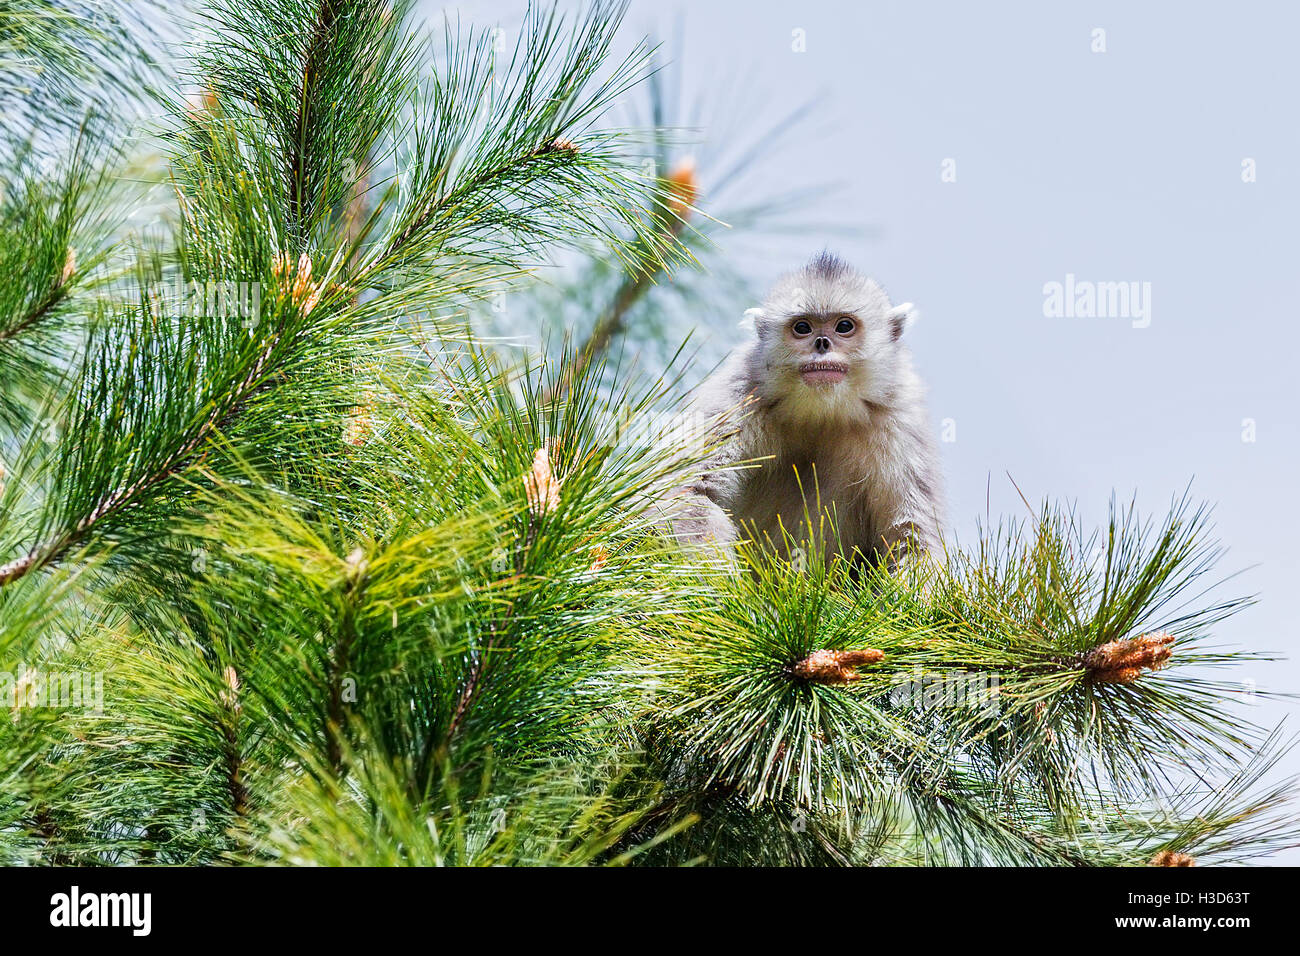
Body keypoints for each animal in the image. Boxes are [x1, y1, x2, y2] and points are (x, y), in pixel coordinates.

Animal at [665, 253, 944, 570]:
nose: (821, 344)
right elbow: (690, 492)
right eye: (802, 328)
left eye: (844, 326)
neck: (820, 413)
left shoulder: (899, 418)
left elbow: (911, 535)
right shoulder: (737, 397)